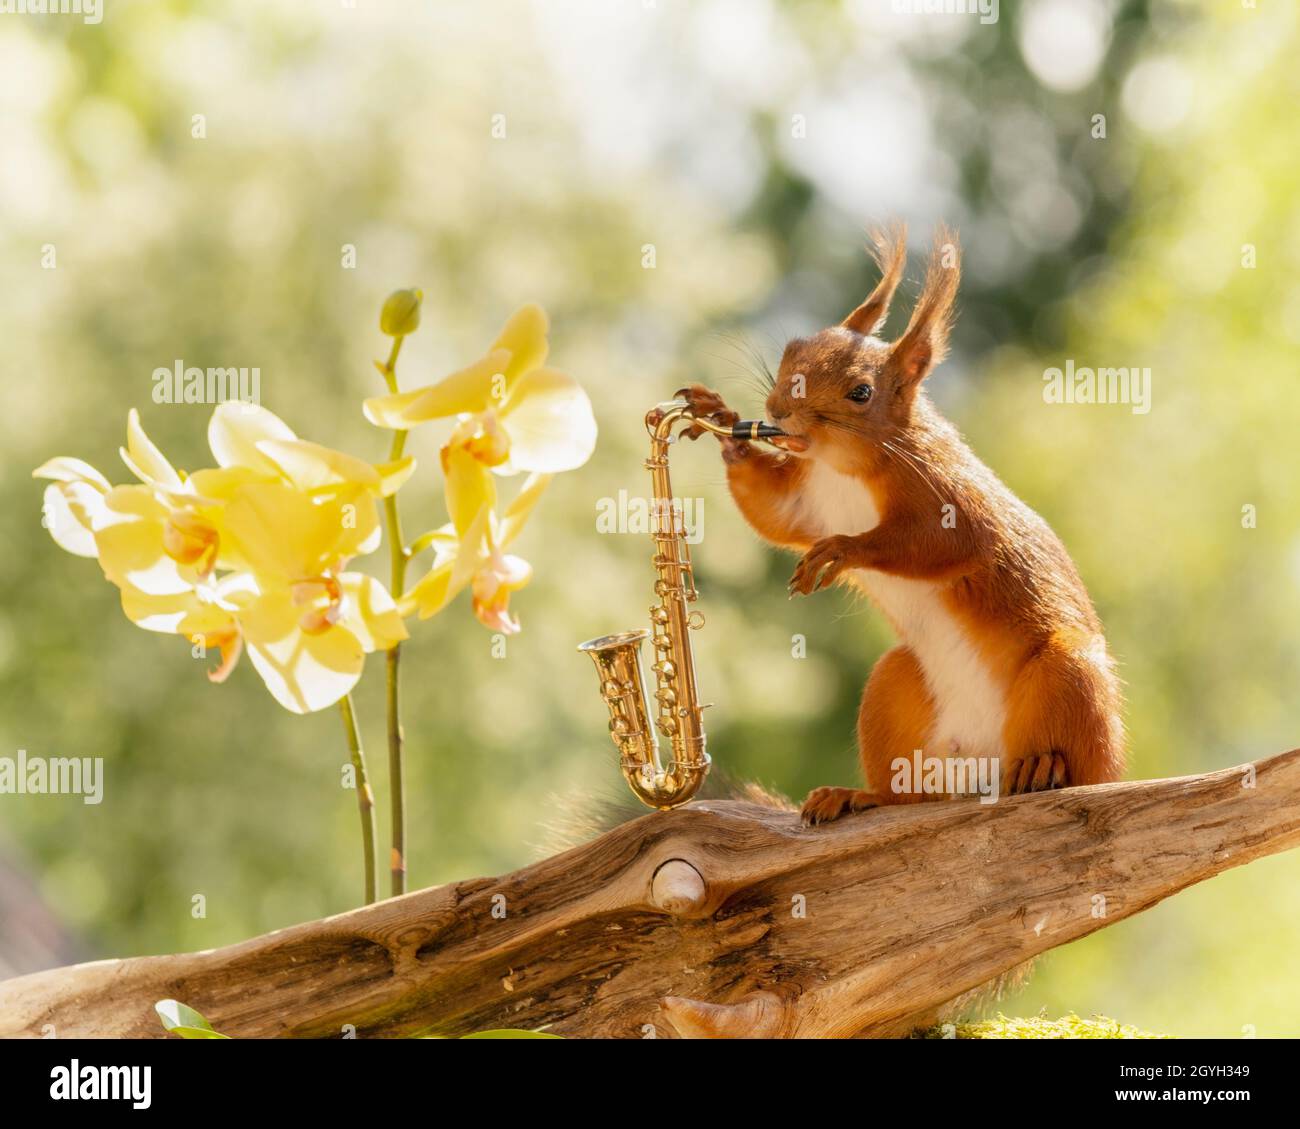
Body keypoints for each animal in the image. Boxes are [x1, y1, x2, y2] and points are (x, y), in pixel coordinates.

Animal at [682, 225, 1125, 825]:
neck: (845, 466)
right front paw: (721, 420)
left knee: (1082, 765)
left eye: (860, 392)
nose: (777, 410)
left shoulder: (949, 498)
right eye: (792, 349)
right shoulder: (808, 499)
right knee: (908, 793)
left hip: (1068, 673)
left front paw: (842, 550)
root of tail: (982, 765)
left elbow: (938, 543)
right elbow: (772, 513)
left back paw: (1043, 768)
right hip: (893, 688)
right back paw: (855, 795)